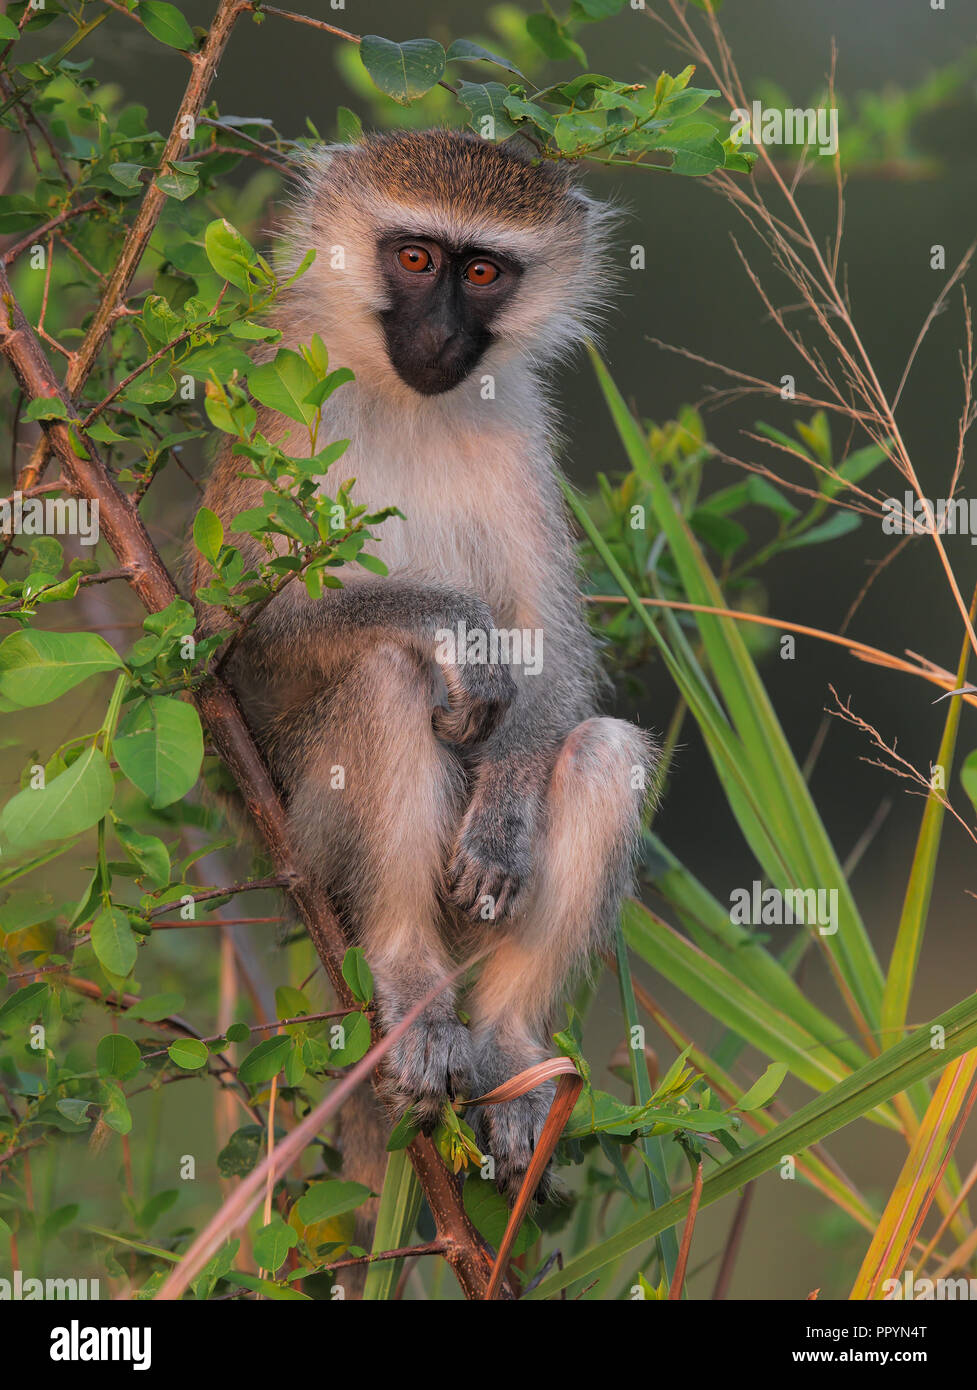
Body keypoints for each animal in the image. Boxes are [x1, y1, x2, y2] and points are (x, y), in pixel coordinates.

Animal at [191, 129, 657, 1207]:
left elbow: (552, 654)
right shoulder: (271, 407)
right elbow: (230, 644)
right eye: (413, 258)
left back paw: (512, 1053)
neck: (403, 399)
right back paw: (408, 993)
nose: (441, 334)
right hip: (310, 849)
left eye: (482, 273)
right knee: (383, 679)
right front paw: (452, 625)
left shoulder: (520, 432)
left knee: (603, 751)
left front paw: (501, 821)